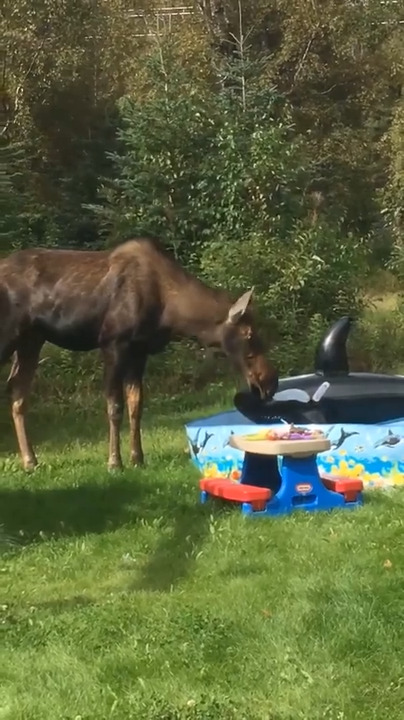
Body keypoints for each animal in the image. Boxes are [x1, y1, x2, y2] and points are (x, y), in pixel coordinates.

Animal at [0, 236, 279, 471]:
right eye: (249, 334)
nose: (269, 382)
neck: (171, 313)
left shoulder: (139, 351)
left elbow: (136, 405)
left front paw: (137, 458)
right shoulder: (113, 343)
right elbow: (115, 406)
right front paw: (115, 462)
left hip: (30, 340)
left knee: (17, 391)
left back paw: (30, 460)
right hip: (11, 337)